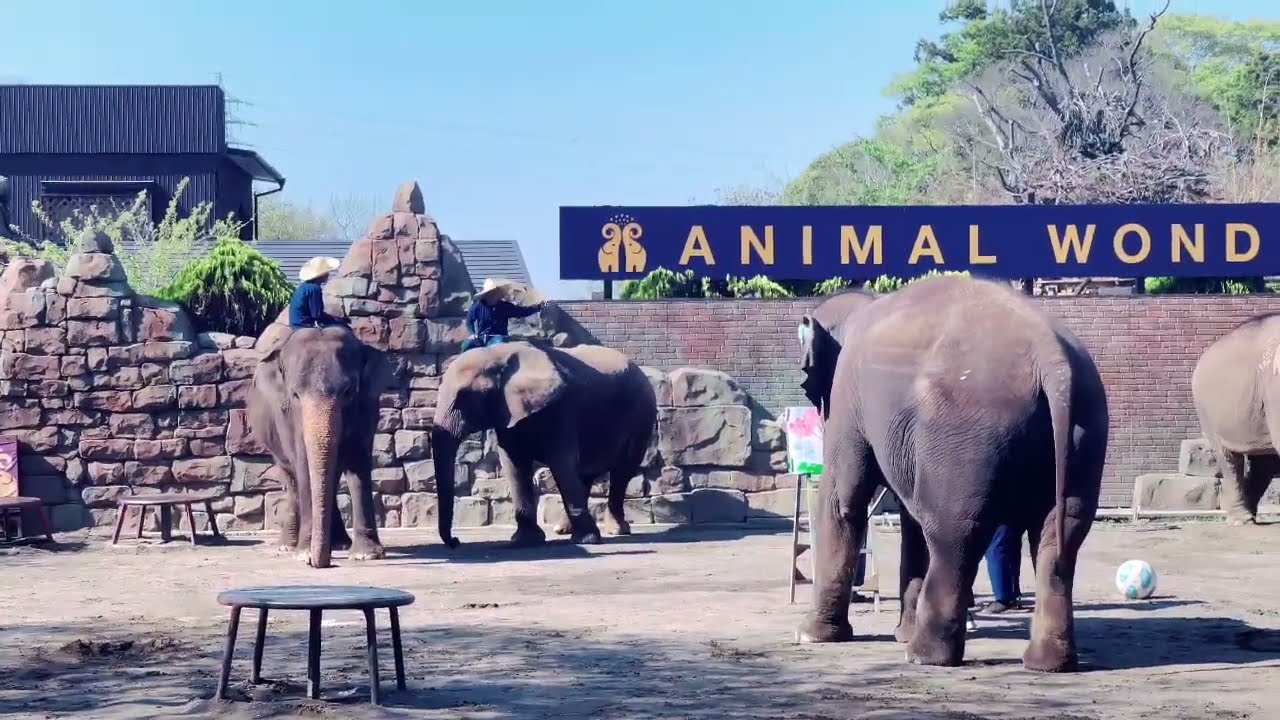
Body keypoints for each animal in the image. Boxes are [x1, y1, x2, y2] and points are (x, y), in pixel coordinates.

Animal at [246, 325, 391, 568]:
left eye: (348, 392)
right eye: (295, 394)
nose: (318, 562)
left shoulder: (368, 406)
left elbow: (358, 461)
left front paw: (365, 555)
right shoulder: (287, 417)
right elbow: (303, 465)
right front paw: (303, 553)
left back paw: (339, 544)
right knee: (291, 478)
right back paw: (288, 546)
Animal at [431, 341, 658, 549]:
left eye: (465, 396)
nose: (456, 541)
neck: (498, 354)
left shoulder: (560, 409)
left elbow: (561, 462)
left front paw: (588, 541)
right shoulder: (508, 413)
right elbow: (514, 464)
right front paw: (525, 541)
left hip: (642, 417)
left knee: (622, 471)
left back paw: (616, 530)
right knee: (586, 473)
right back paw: (563, 529)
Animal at [796, 275, 1109, 673]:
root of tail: (1051, 359)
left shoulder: (848, 396)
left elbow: (842, 499)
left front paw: (811, 635)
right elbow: (908, 517)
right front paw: (899, 632)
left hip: (964, 436)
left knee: (954, 535)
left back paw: (924, 655)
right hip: (1087, 429)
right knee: (1060, 535)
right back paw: (1047, 663)